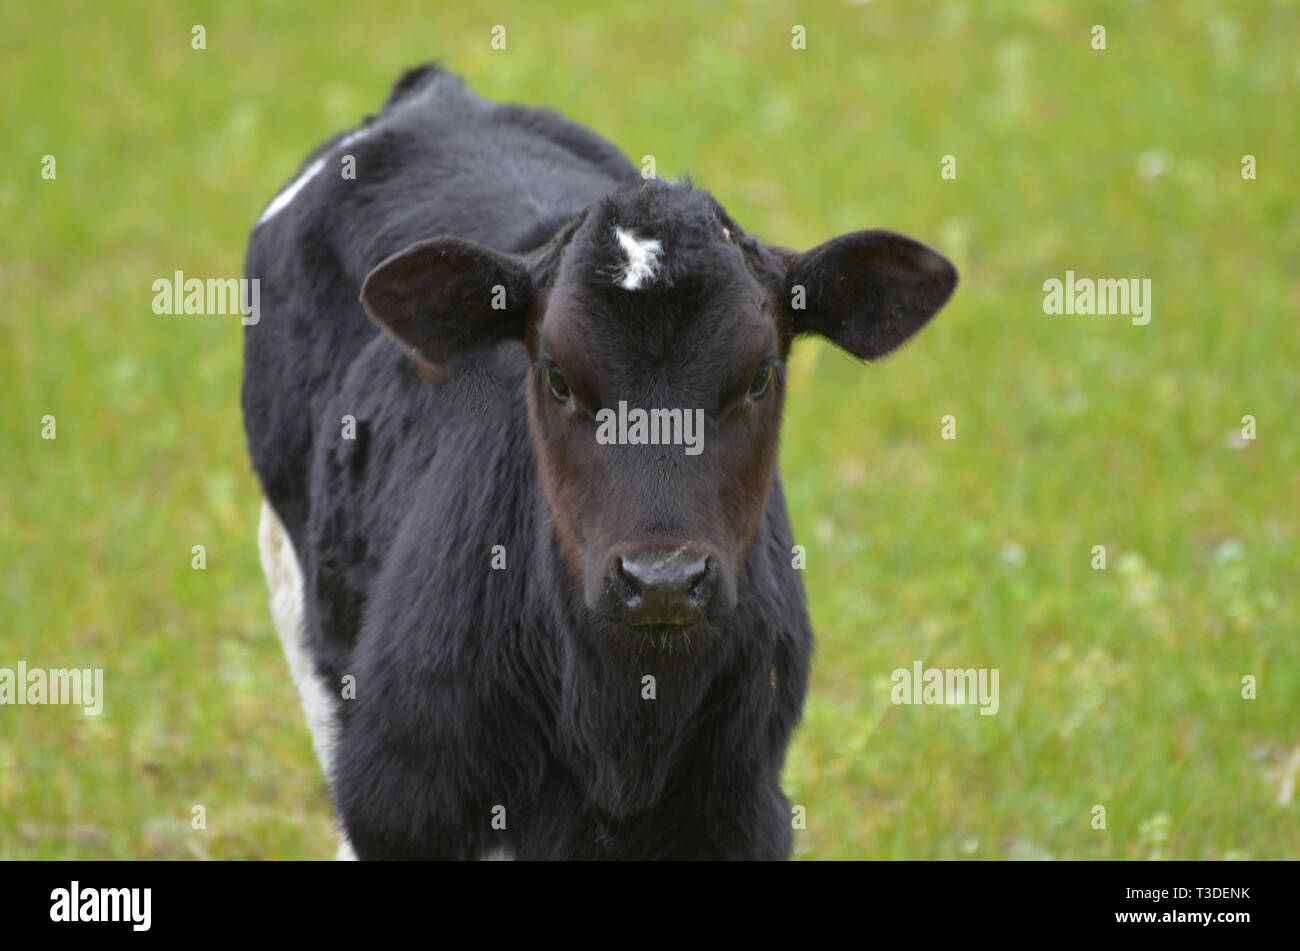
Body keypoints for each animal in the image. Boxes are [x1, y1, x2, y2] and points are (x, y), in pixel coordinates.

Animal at [242, 64, 957, 860]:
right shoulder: (397, 800)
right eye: (556, 376)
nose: (663, 579)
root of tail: (438, 93)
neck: (620, 742)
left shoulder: (743, 811)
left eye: (760, 376)